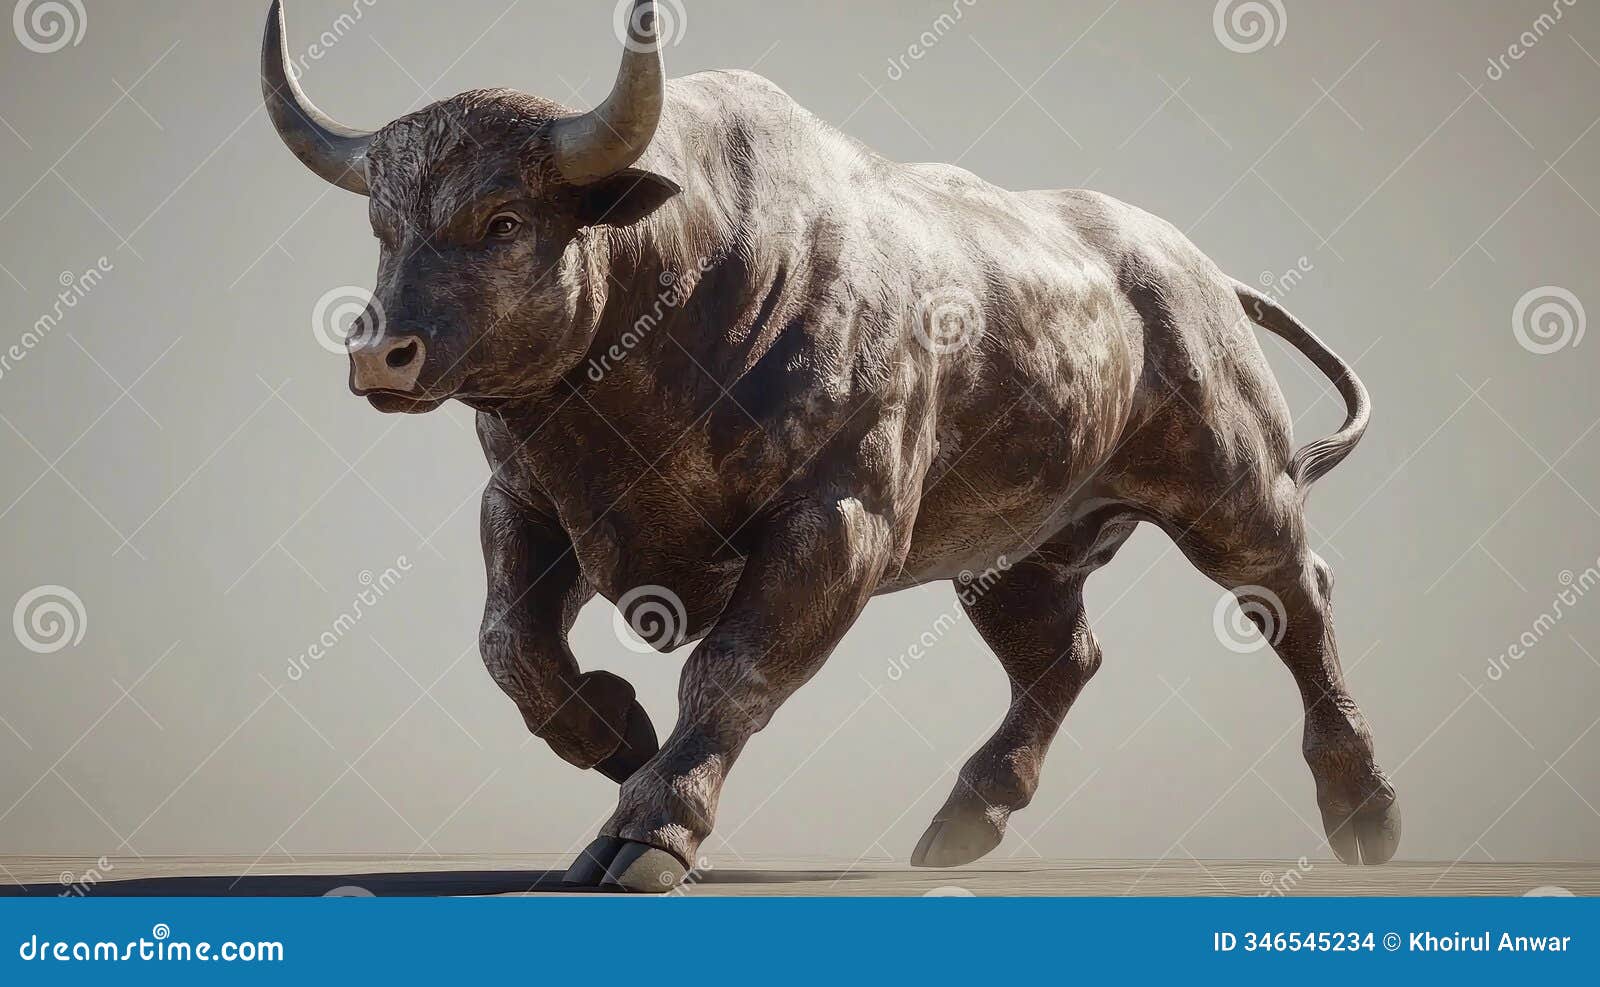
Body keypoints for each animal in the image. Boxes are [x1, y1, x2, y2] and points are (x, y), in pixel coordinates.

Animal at [262, 0, 1400, 891]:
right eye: (384, 228)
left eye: (502, 220)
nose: (381, 357)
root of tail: (1195, 269)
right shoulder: (532, 506)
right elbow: (511, 647)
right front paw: (616, 736)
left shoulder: (835, 523)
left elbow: (729, 671)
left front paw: (648, 831)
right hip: (1016, 551)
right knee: (1063, 652)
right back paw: (964, 820)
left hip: (1229, 487)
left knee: (1294, 598)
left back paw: (1365, 810)